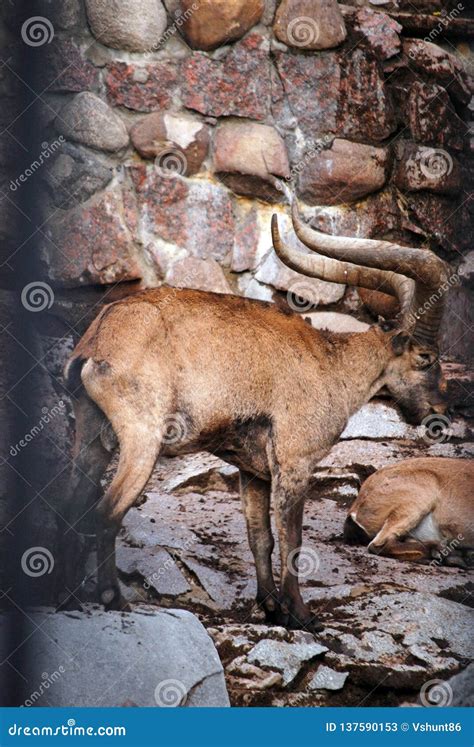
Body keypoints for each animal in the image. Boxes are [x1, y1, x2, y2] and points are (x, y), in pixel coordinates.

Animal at [59, 200, 450, 632]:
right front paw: (302, 616)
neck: (330, 365)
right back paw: (114, 600)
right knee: (106, 513)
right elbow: (292, 538)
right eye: (425, 357)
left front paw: (271, 608)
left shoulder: (253, 471)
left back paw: (68, 599)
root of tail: (96, 343)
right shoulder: (294, 460)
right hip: (141, 438)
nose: (438, 412)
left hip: (92, 435)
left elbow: (260, 536)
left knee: (71, 507)